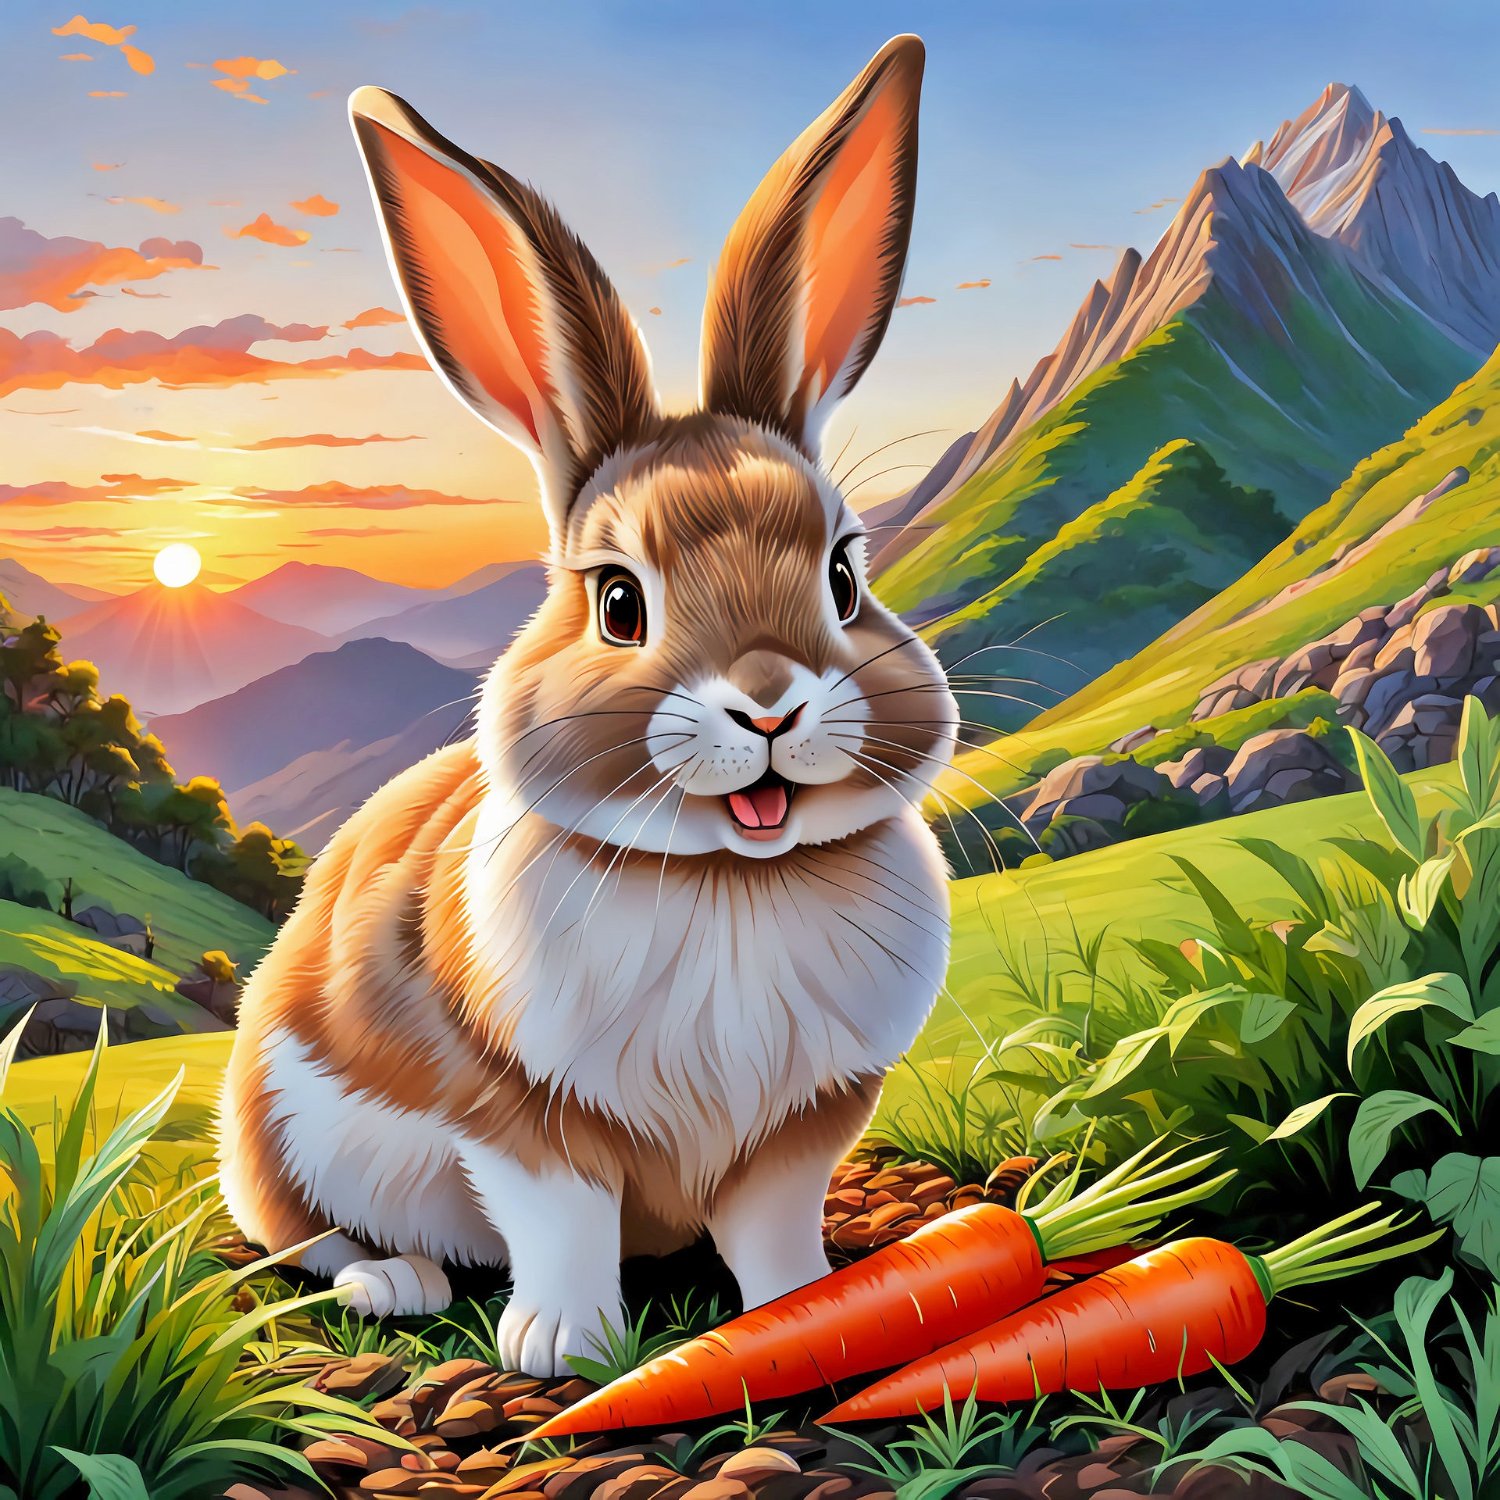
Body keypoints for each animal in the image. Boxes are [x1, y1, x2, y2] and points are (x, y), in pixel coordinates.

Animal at [218, 33, 958, 1378]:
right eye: (618, 601)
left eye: (844, 574)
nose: (768, 705)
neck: (727, 883)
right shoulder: (516, 1108)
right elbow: (559, 1214)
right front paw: (561, 1347)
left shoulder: (803, 1124)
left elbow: (773, 1225)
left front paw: (801, 1308)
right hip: (270, 1126)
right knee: (302, 1239)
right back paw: (395, 1284)